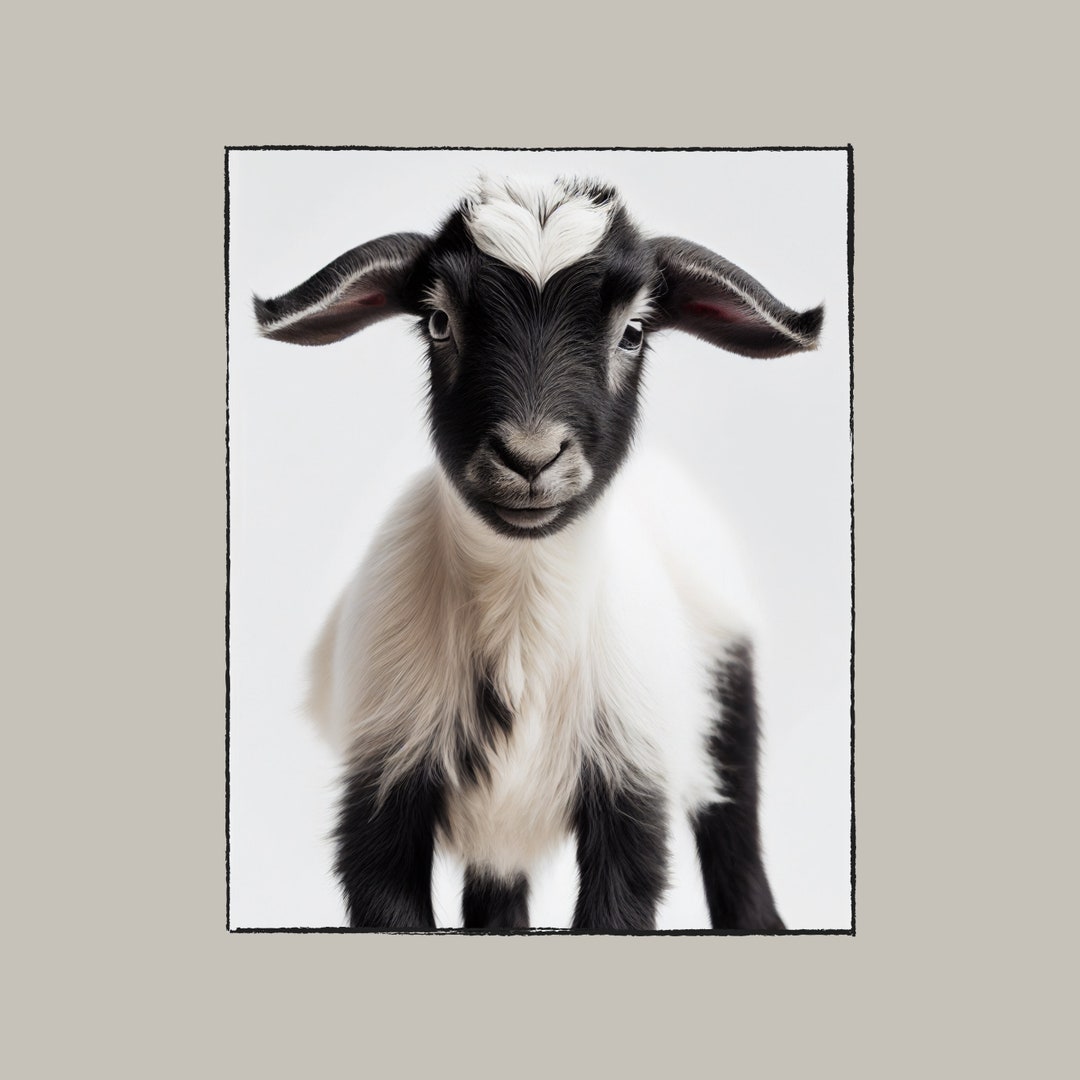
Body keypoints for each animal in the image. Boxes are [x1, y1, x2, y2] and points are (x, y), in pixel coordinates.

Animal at [253, 175, 823, 931]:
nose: (531, 458)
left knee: (736, 835)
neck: (522, 613)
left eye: (632, 333)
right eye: (439, 324)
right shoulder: (384, 776)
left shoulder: (631, 781)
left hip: (725, 700)